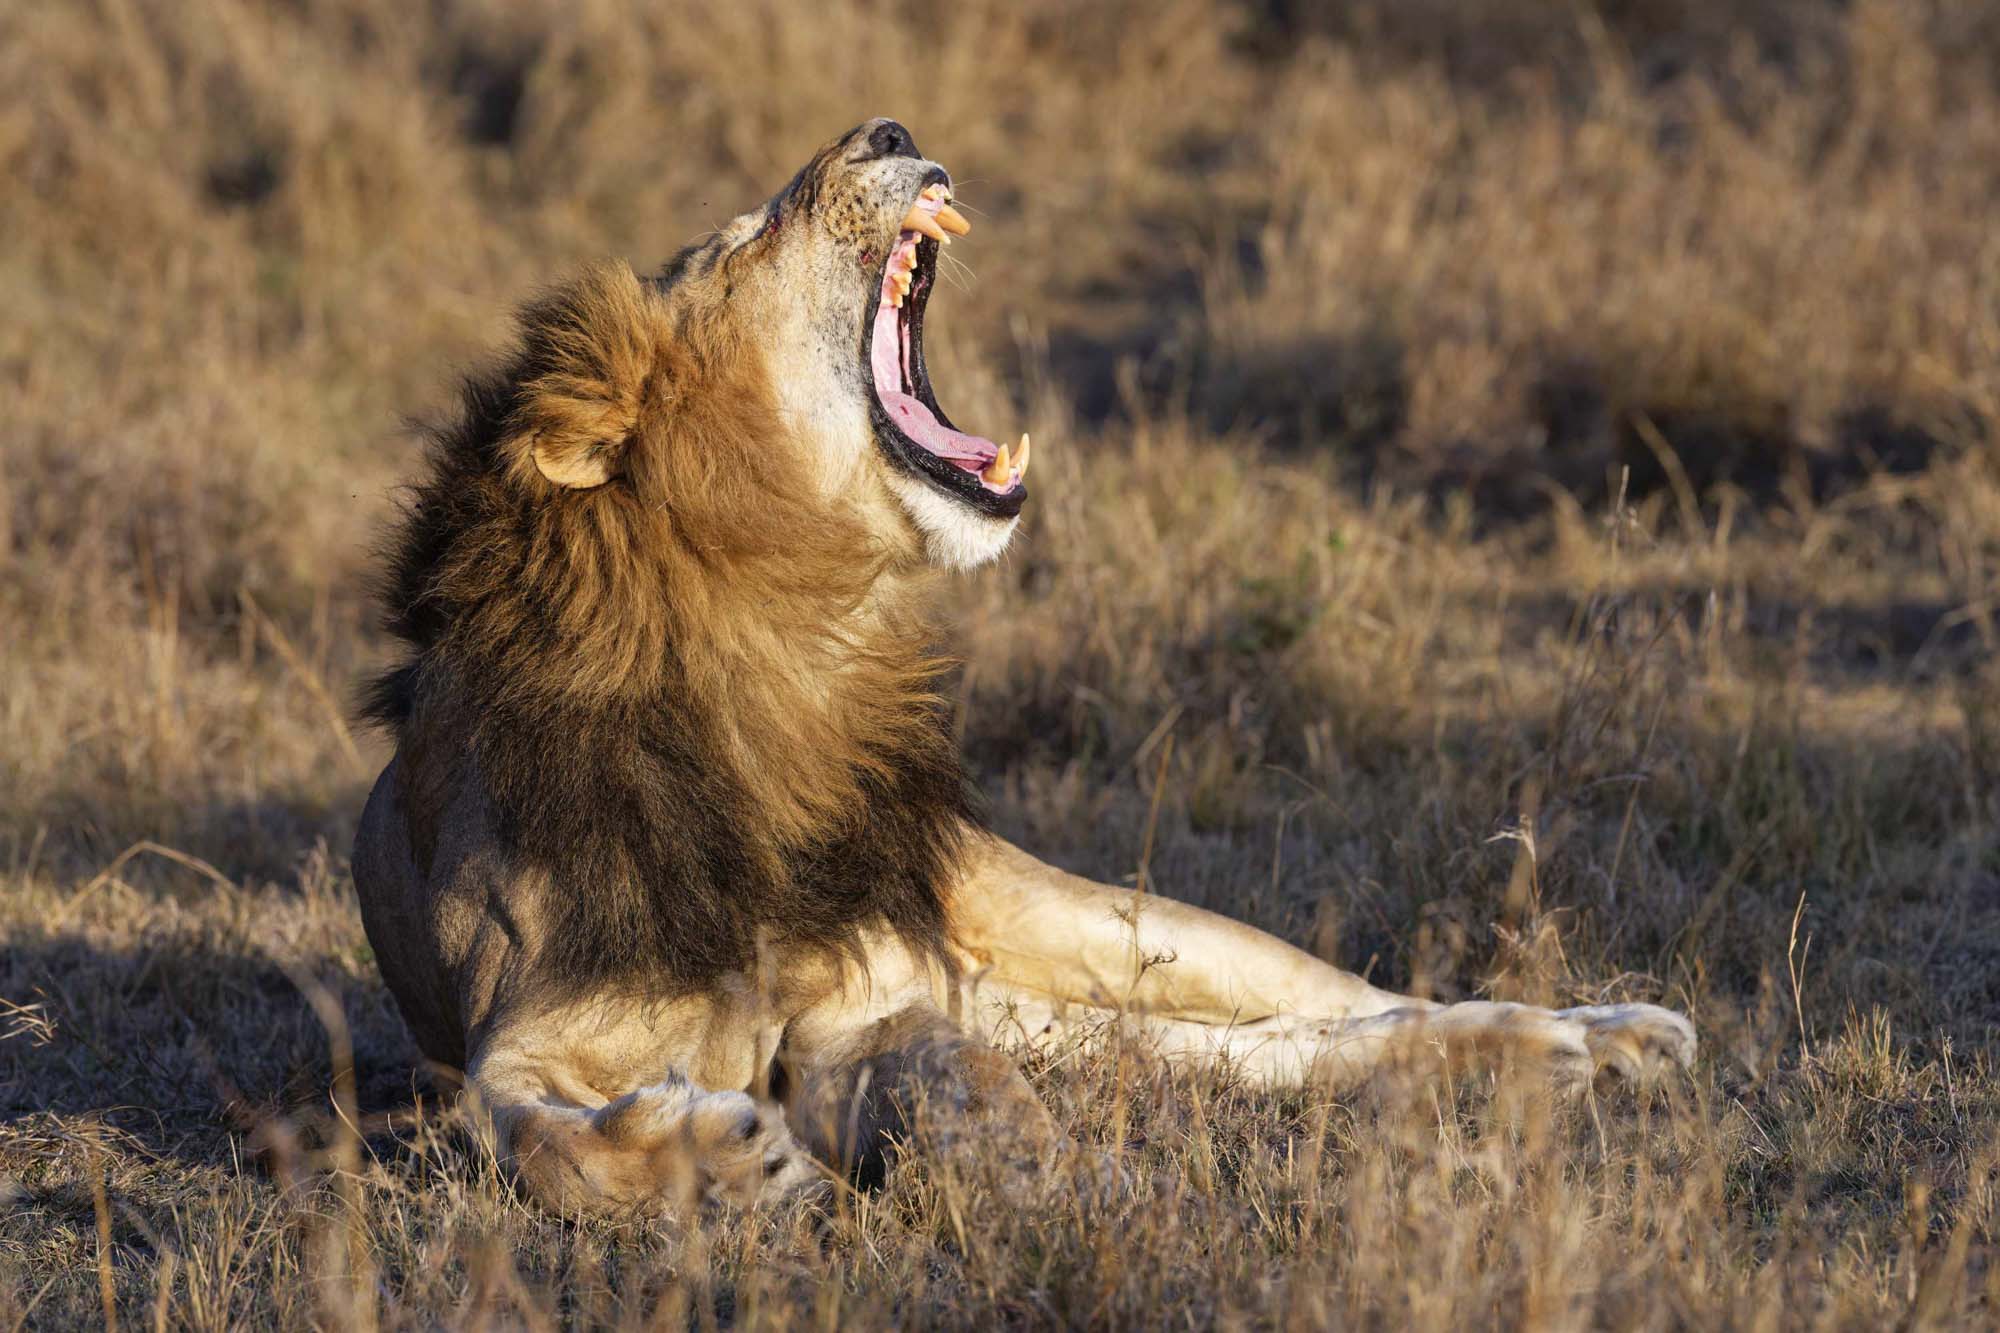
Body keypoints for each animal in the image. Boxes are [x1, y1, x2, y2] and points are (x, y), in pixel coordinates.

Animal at [353, 119, 1695, 1216]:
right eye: (744, 241)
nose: (888, 128)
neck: (777, 645)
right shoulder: (511, 1039)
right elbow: (528, 1139)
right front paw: (731, 1161)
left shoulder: (864, 1003)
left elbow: (970, 1086)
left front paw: (1055, 1181)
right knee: (1249, 1053)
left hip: (1071, 916)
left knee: (1345, 998)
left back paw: (1598, 1033)